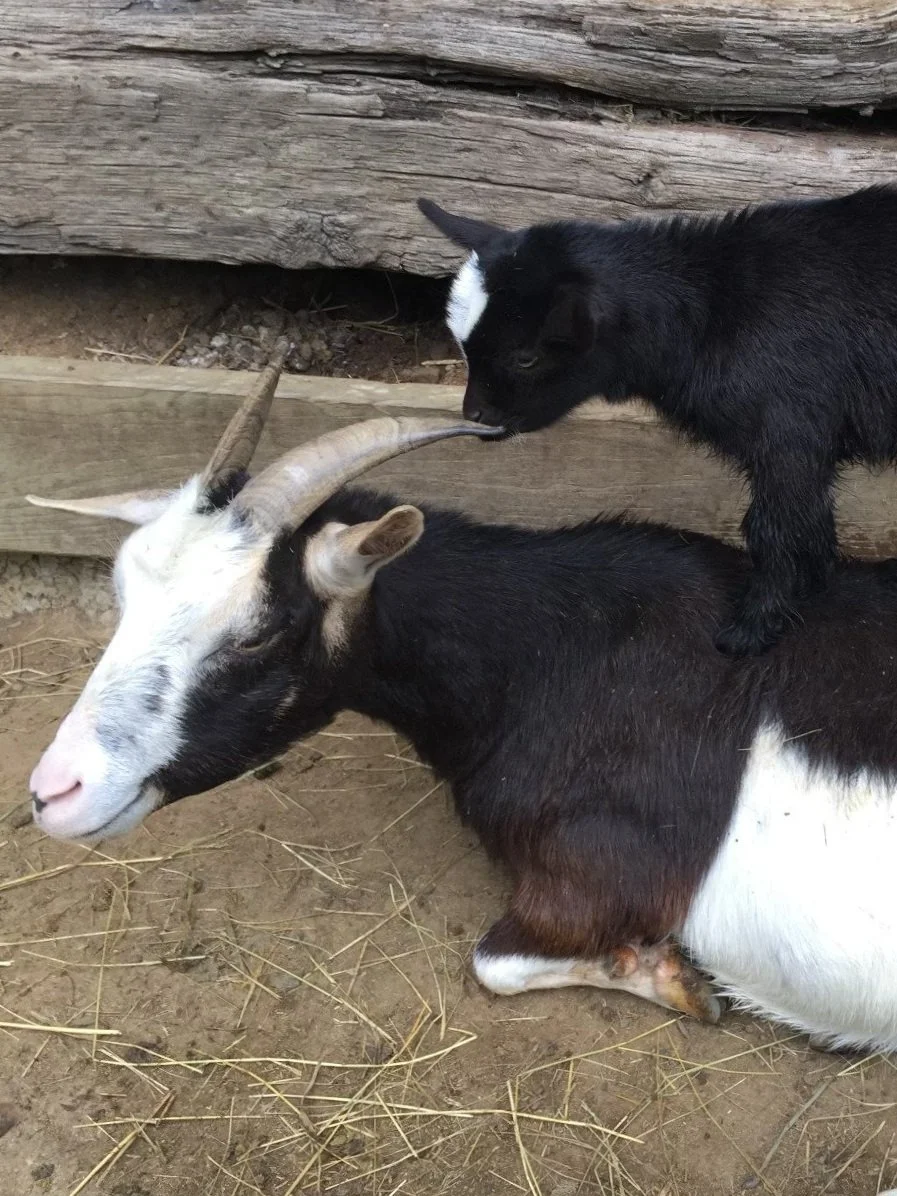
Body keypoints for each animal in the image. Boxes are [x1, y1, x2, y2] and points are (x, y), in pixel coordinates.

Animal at [26, 357, 897, 1053]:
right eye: (122, 593)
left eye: (257, 634)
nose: (54, 792)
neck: (553, 650)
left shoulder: (596, 877)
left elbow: (495, 961)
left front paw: (673, 978)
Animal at [419, 186, 897, 659]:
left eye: (526, 358)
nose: (476, 415)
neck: (711, 307)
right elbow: (810, 521)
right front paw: (810, 585)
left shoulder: (789, 433)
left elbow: (775, 528)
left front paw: (750, 630)